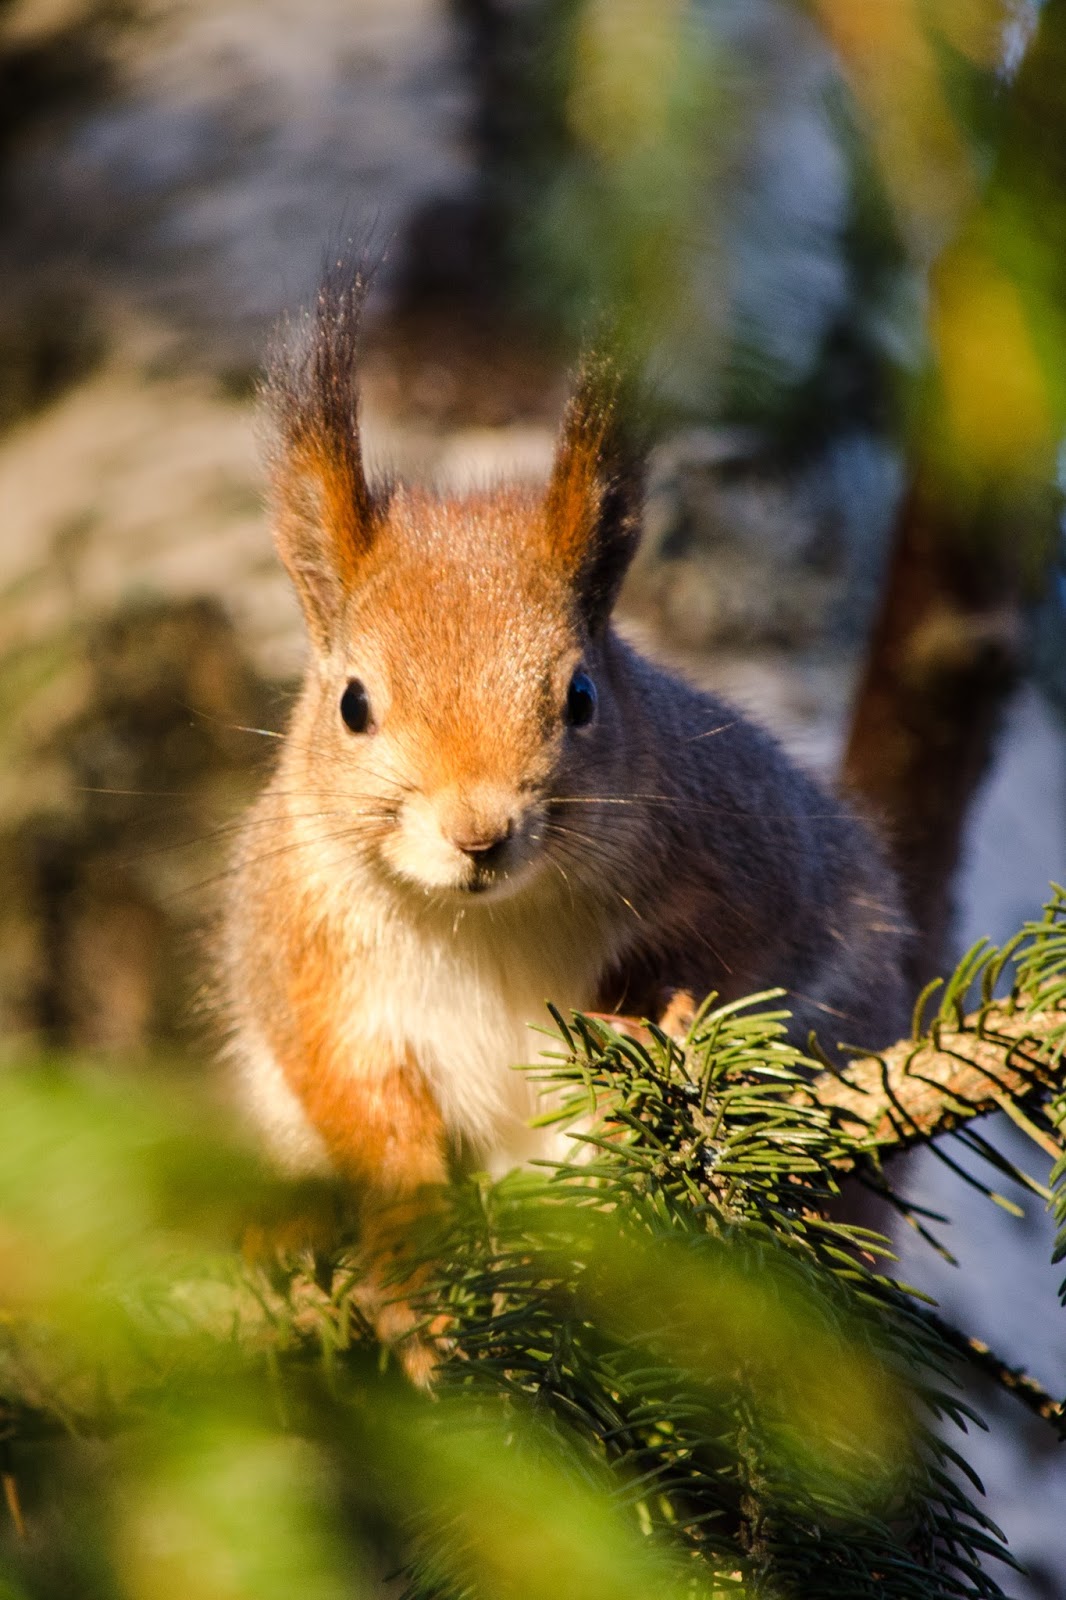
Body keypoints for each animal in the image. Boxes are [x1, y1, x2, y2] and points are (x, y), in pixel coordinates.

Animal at [219, 270, 908, 1356]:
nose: (479, 833)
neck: (487, 916)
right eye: (352, 704)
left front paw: (644, 1023)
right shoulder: (307, 962)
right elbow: (359, 1103)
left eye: (581, 696)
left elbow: (731, 959)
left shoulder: (750, 862)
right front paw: (414, 1261)